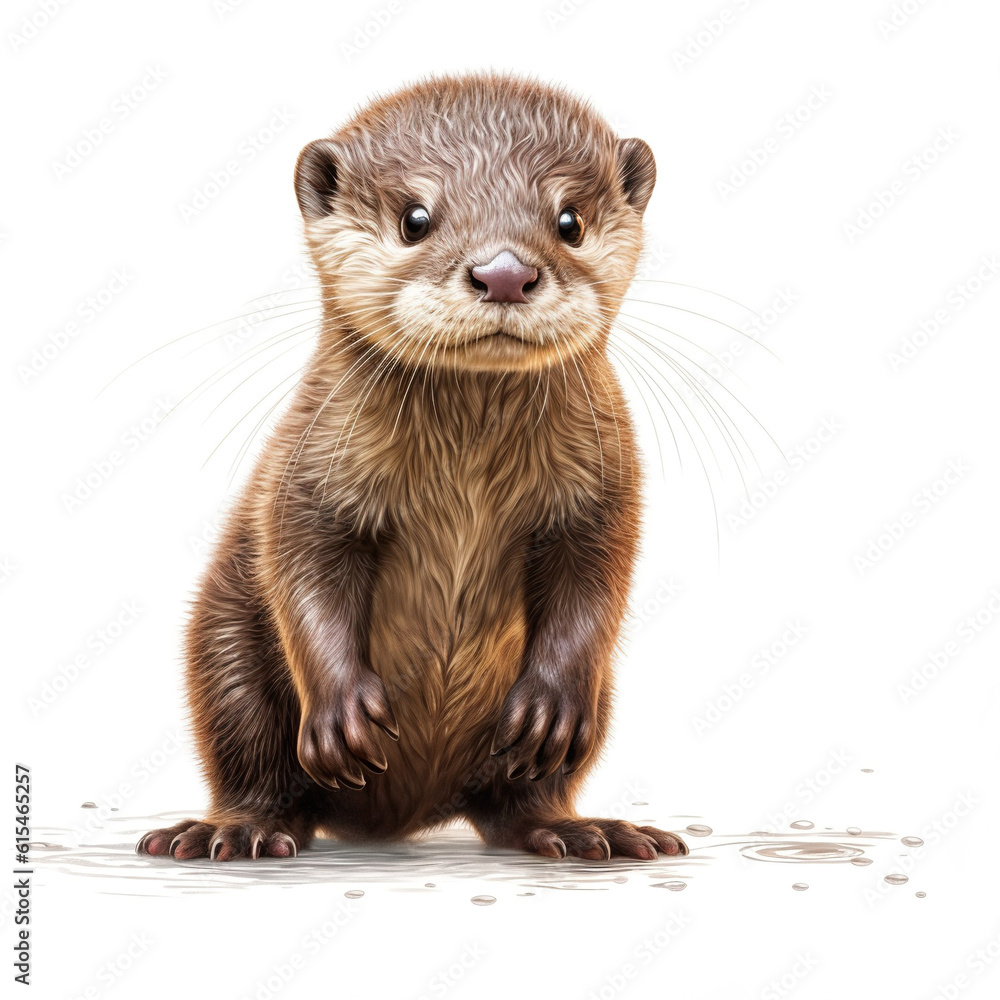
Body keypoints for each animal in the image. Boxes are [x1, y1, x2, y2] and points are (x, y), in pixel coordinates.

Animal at [138, 73, 688, 863]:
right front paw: (342, 710)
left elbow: (597, 581)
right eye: (415, 218)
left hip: (600, 699)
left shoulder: (607, 483)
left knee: (523, 797)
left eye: (570, 220)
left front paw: (550, 704)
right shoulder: (308, 467)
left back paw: (583, 830)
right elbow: (299, 566)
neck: (466, 472)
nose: (504, 272)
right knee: (252, 757)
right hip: (222, 644)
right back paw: (234, 830)